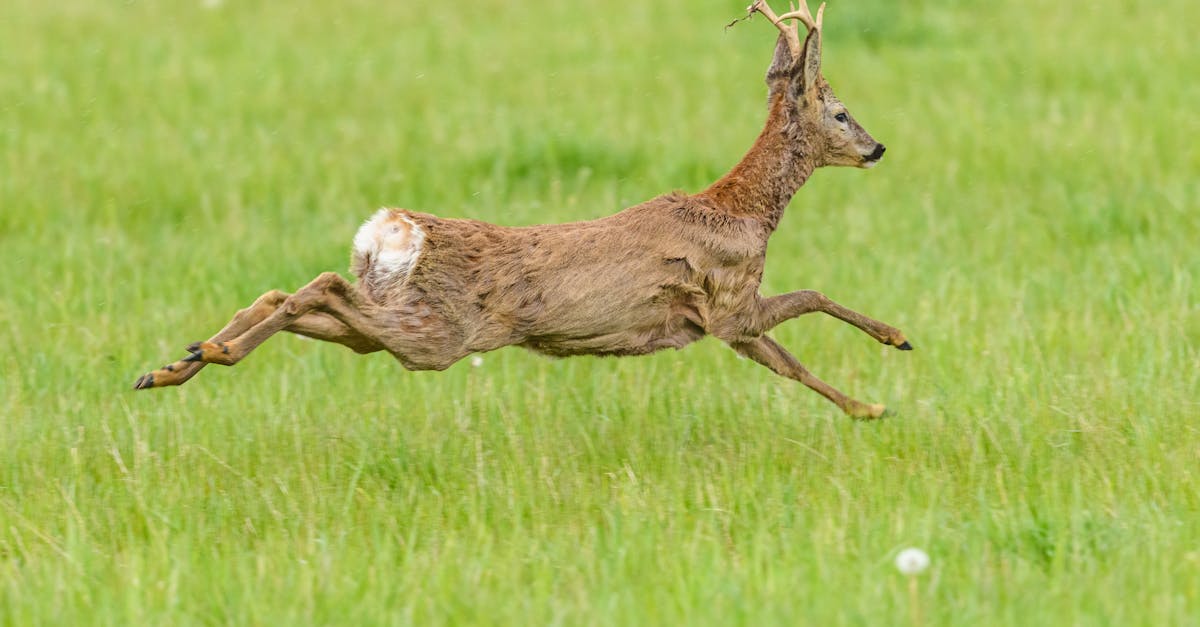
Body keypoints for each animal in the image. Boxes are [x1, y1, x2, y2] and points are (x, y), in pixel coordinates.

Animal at [133, 2, 907, 420]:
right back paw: (207, 352)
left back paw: (176, 360)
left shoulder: (721, 318)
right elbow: (807, 315)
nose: (877, 147)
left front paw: (878, 381)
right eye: (841, 111)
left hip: (394, 319)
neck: (743, 209)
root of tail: (393, 231)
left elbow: (798, 334)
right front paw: (884, 374)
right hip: (435, 332)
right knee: (316, 289)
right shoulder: (727, 306)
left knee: (294, 294)